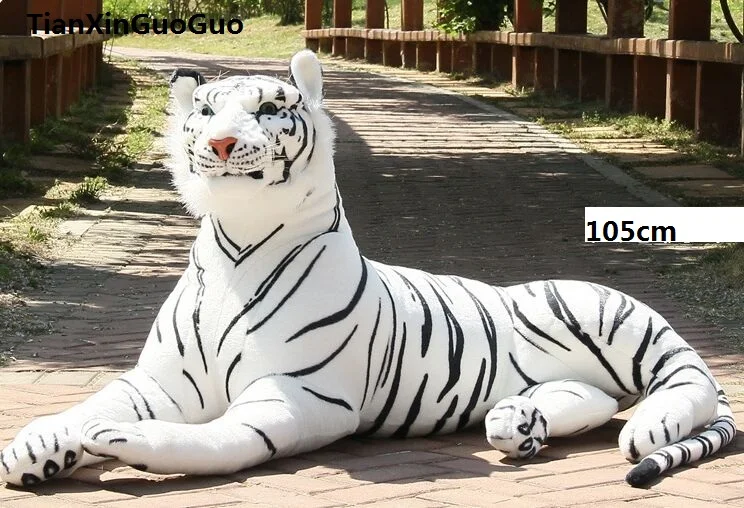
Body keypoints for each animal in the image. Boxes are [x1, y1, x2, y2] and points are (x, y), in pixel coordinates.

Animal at [0, 50, 734, 489]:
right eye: (205, 112)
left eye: (269, 109)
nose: (221, 142)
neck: (235, 244)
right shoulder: (160, 379)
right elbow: (97, 399)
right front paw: (42, 443)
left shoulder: (296, 396)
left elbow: (218, 438)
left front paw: (116, 438)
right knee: (589, 399)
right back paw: (520, 424)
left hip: (615, 324)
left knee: (686, 384)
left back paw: (646, 429)